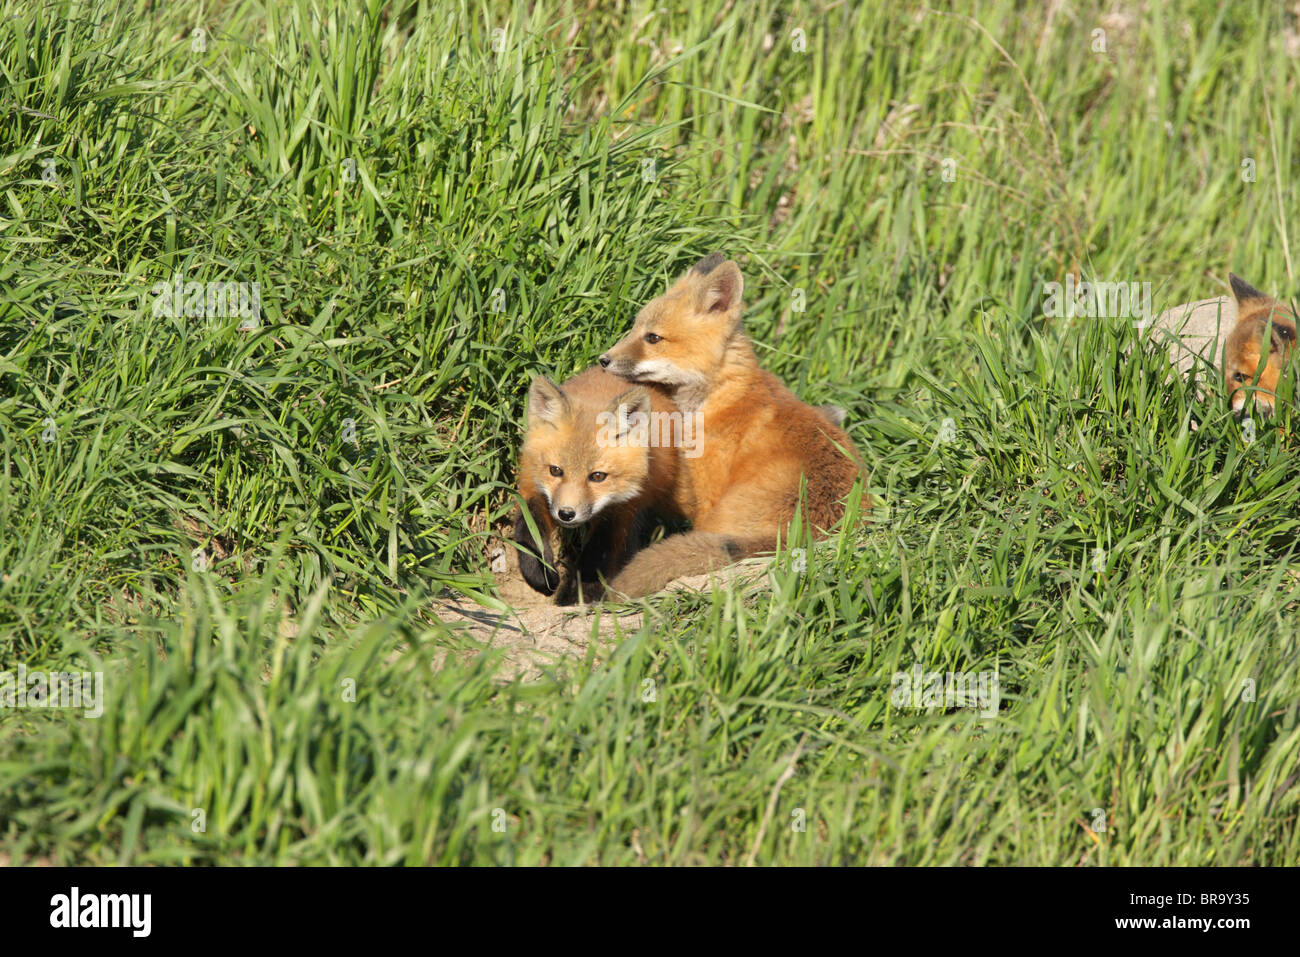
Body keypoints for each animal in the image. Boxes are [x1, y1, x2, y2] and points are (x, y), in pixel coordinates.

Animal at [512, 367, 688, 604]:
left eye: (597, 476)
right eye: (555, 471)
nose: (566, 514)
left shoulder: (620, 511)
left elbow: (596, 557)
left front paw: (580, 595)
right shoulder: (532, 485)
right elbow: (528, 533)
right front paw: (541, 573)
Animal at [597, 252, 868, 599]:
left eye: (653, 338)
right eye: (633, 329)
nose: (603, 359)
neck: (718, 395)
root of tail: (805, 535)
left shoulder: (706, 490)